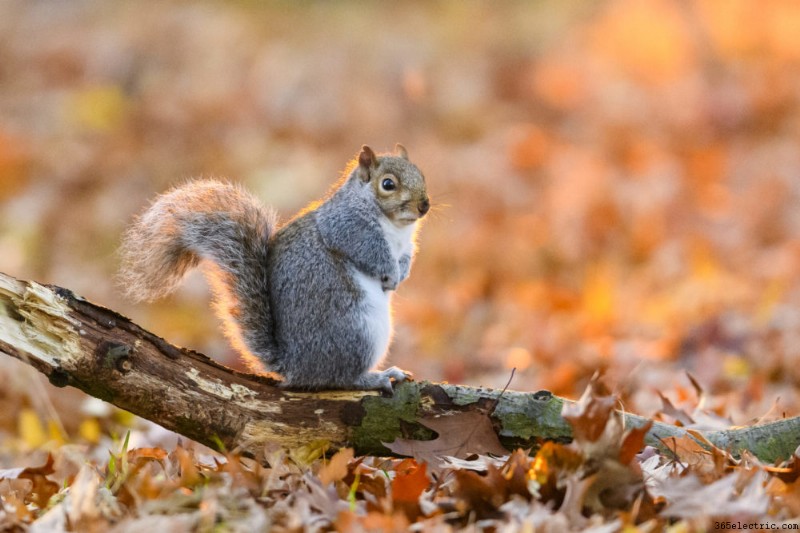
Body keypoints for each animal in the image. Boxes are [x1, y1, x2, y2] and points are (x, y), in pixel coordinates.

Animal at [118, 143, 428, 392]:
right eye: (388, 184)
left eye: (421, 175)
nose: (424, 205)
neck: (396, 227)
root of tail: (295, 366)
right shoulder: (349, 228)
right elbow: (372, 254)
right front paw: (391, 275)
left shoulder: (406, 244)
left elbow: (406, 257)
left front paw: (401, 274)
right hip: (357, 332)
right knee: (338, 379)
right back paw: (376, 377)